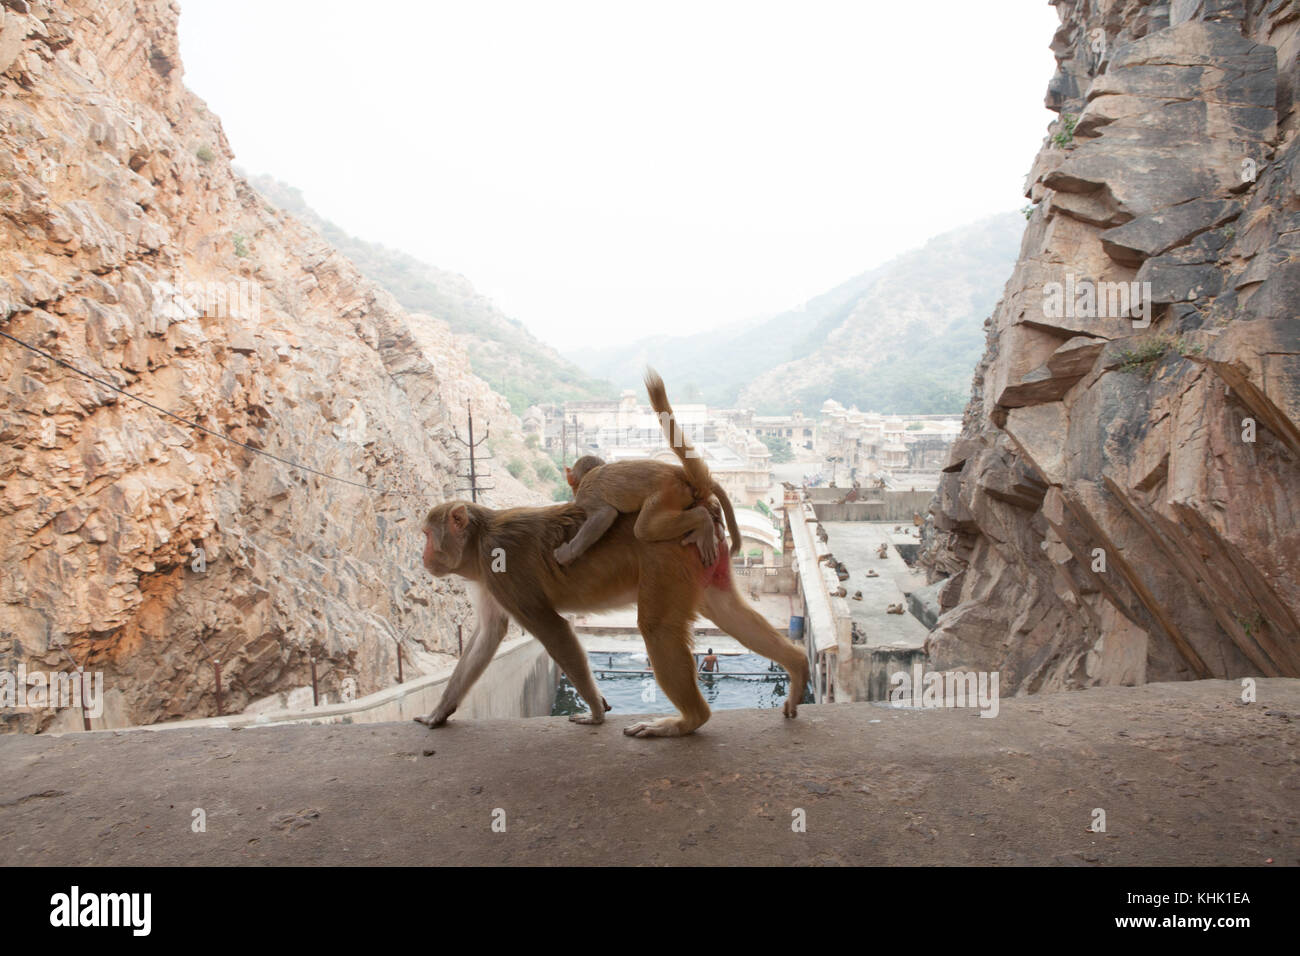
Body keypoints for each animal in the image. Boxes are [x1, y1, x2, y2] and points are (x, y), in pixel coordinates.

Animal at [417, 498, 808, 739]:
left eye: (427, 535)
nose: (422, 557)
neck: (480, 538)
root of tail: (702, 509)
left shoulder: (501, 567)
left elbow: (553, 629)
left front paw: (595, 712)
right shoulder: (486, 578)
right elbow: (488, 635)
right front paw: (438, 713)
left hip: (668, 555)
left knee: (656, 628)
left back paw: (687, 721)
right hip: (703, 559)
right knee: (728, 612)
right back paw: (798, 665)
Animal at [552, 370, 741, 568]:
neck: (589, 475)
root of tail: (677, 471)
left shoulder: (585, 497)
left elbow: (604, 516)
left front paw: (566, 554)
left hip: (668, 494)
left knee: (644, 528)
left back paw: (703, 519)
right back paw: (711, 513)